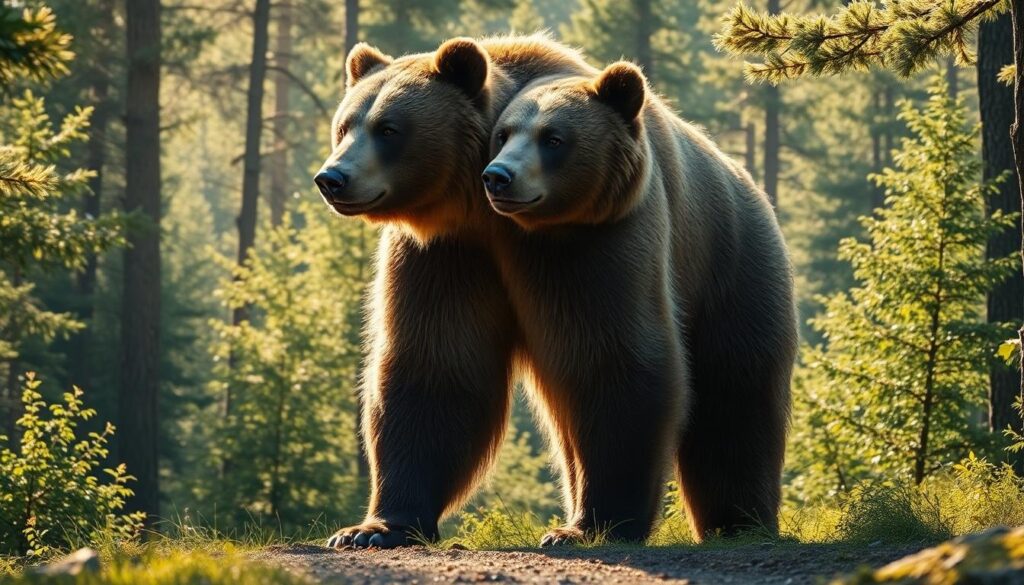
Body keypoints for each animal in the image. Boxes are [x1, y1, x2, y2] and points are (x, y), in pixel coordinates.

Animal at [314, 34, 592, 549]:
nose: (331, 179)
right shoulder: (442, 255)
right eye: (344, 126)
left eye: (388, 128)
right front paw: (372, 529)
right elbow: (430, 371)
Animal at [480, 60, 797, 543]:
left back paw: (740, 522)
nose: (498, 176)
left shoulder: (617, 244)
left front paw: (597, 523)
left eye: (553, 138)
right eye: (503, 133)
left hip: (734, 273)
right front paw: (571, 526)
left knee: (737, 396)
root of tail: (754, 187)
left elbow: (622, 364)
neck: (556, 233)